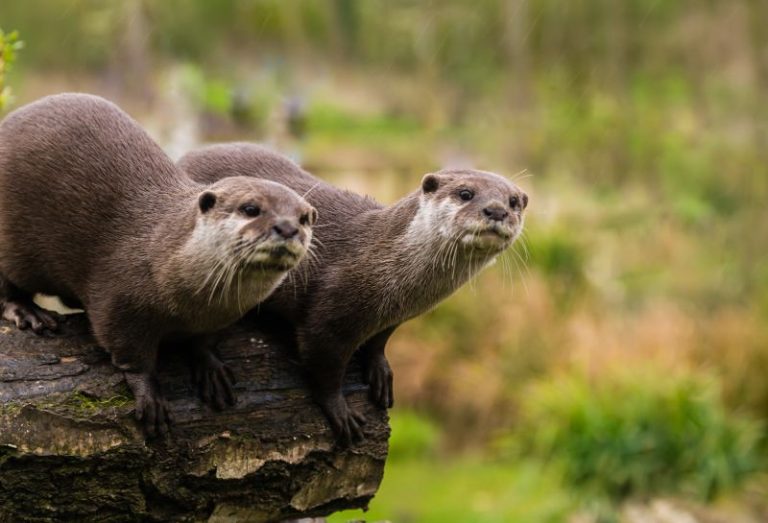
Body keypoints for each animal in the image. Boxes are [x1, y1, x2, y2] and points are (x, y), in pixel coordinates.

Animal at [0, 95, 317, 436]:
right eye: (251, 208)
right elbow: (130, 353)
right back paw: (27, 312)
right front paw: (149, 395)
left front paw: (209, 366)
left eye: (304, 217)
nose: (288, 227)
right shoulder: (119, 302)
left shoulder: (221, 317)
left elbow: (204, 341)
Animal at [179, 143, 528, 444]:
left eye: (513, 201)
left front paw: (379, 368)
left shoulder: (394, 317)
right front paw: (340, 411)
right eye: (465, 193)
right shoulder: (329, 318)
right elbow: (324, 367)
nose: (496, 210)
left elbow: (379, 340)